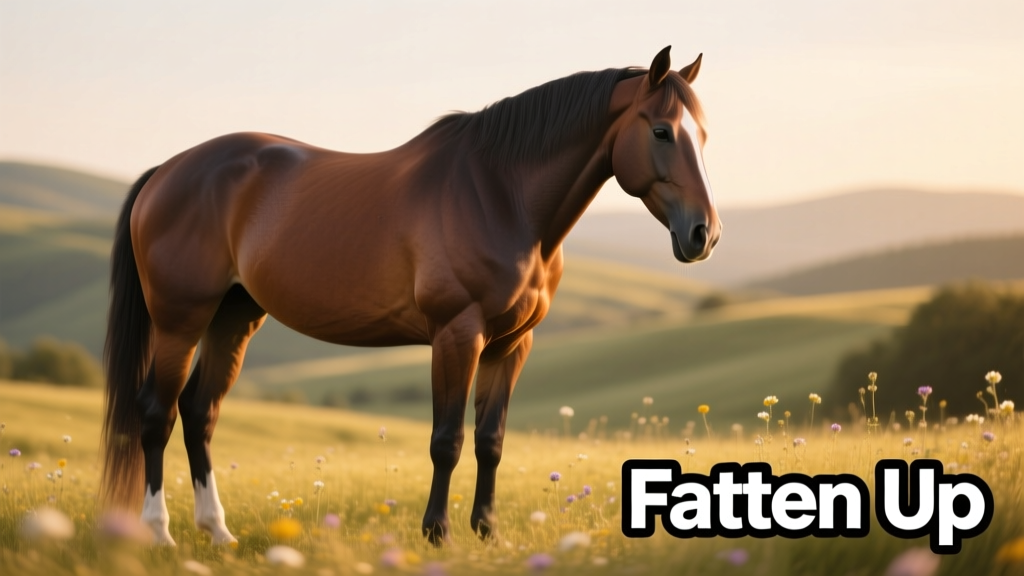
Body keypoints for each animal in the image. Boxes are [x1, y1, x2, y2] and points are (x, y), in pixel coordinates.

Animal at [101, 45, 721, 546]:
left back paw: (218, 532)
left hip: (233, 318)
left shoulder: (511, 345)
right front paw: (437, 533)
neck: (500, 195)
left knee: (199, 413)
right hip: (180, 320)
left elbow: (491, 441)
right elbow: (446, 440)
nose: (704, 234)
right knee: (156, 414)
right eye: (661, 131)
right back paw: (160, 535)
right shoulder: (457, 334)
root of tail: (168, 170)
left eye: (704, 135)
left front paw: (487, 532)